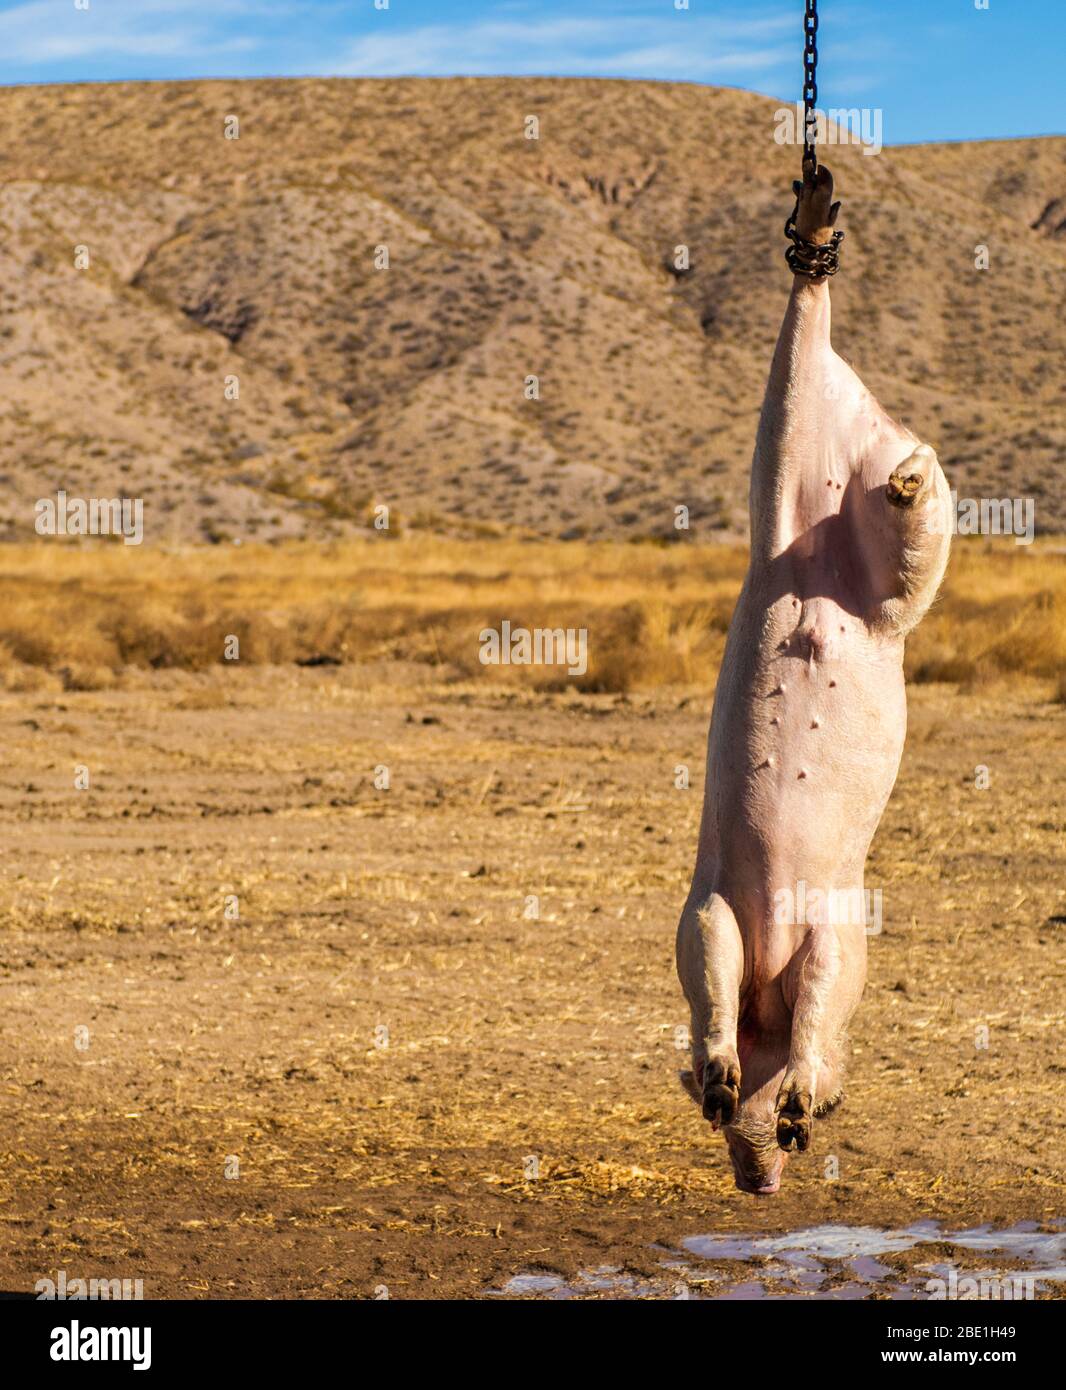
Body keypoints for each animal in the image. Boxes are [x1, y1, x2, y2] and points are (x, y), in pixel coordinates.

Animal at [676, 164, 952, 1195]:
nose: (759, 1179)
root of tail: (802, 548)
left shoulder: (834, 930)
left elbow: (820, 994)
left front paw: (794, 1101)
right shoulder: (709, 906)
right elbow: (710, 967)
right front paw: (723, 1078)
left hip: (880, 588)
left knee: (919, 539)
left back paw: (913, 474)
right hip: (777, 476)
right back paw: (813, 215)